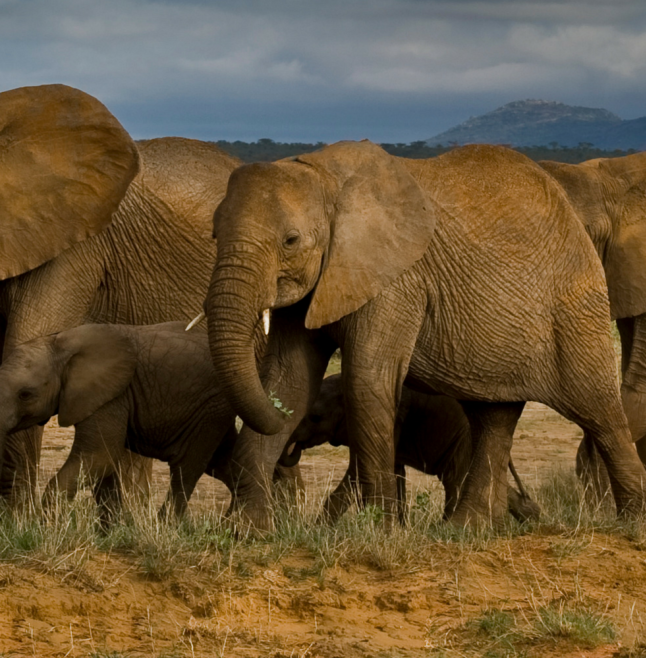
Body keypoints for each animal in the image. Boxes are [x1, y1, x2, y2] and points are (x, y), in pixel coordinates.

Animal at [278, 374, 541, 523]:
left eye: (315, 417)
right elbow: (394, 472)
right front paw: (399, 527)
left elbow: (358, 470)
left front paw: (319, 529)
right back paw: (533, 520)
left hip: (463, 440)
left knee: (455, 481)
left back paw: (444, 527)